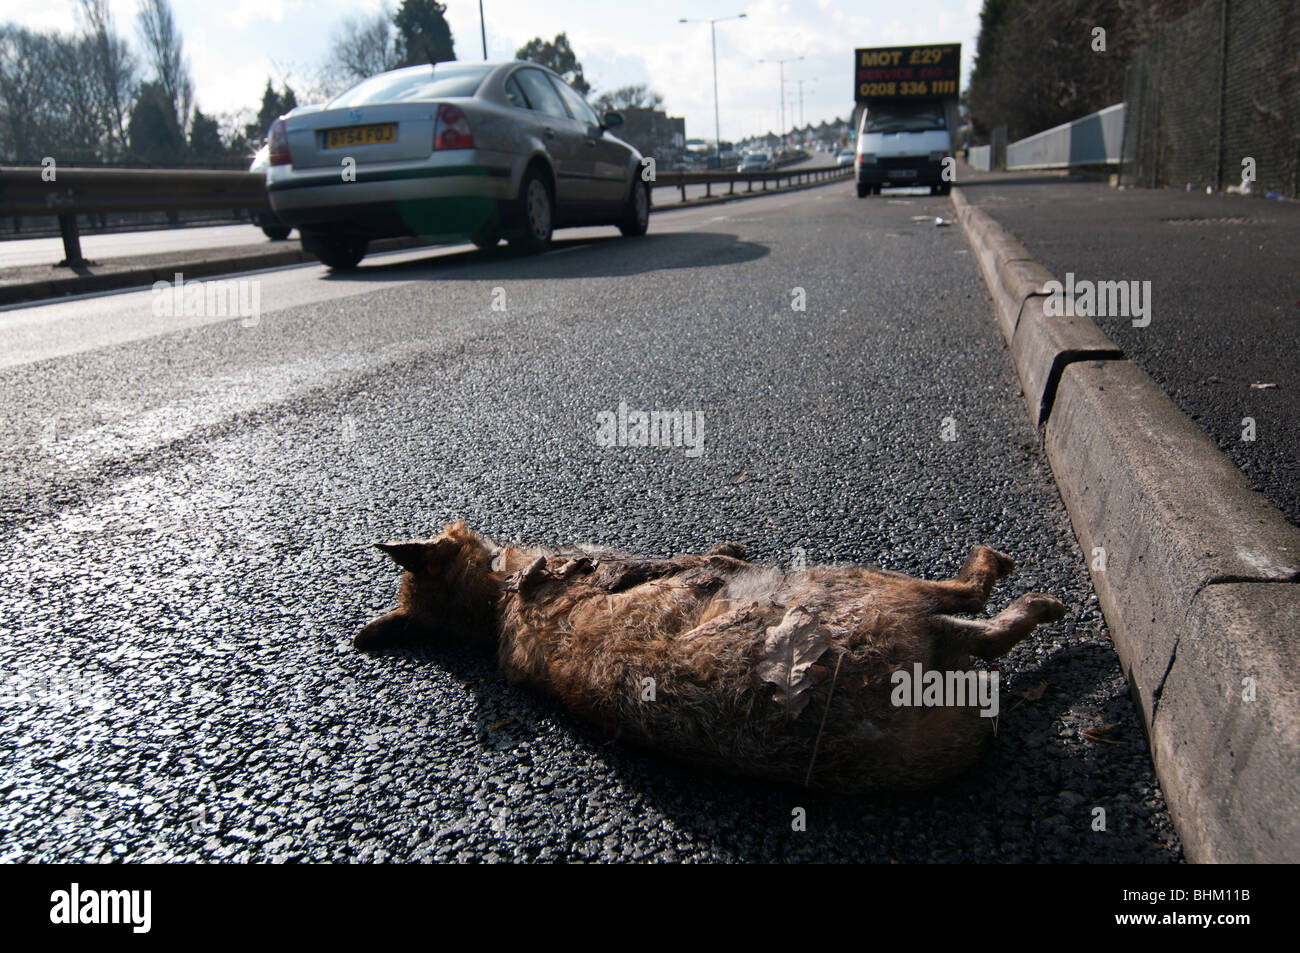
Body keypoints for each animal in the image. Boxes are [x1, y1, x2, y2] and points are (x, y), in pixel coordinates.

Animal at [355, 521, 1066, 792]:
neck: (496, 604)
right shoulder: (657, 564)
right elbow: (710, 558)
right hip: (867, 589)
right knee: (972, 611)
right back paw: (1012, 588)